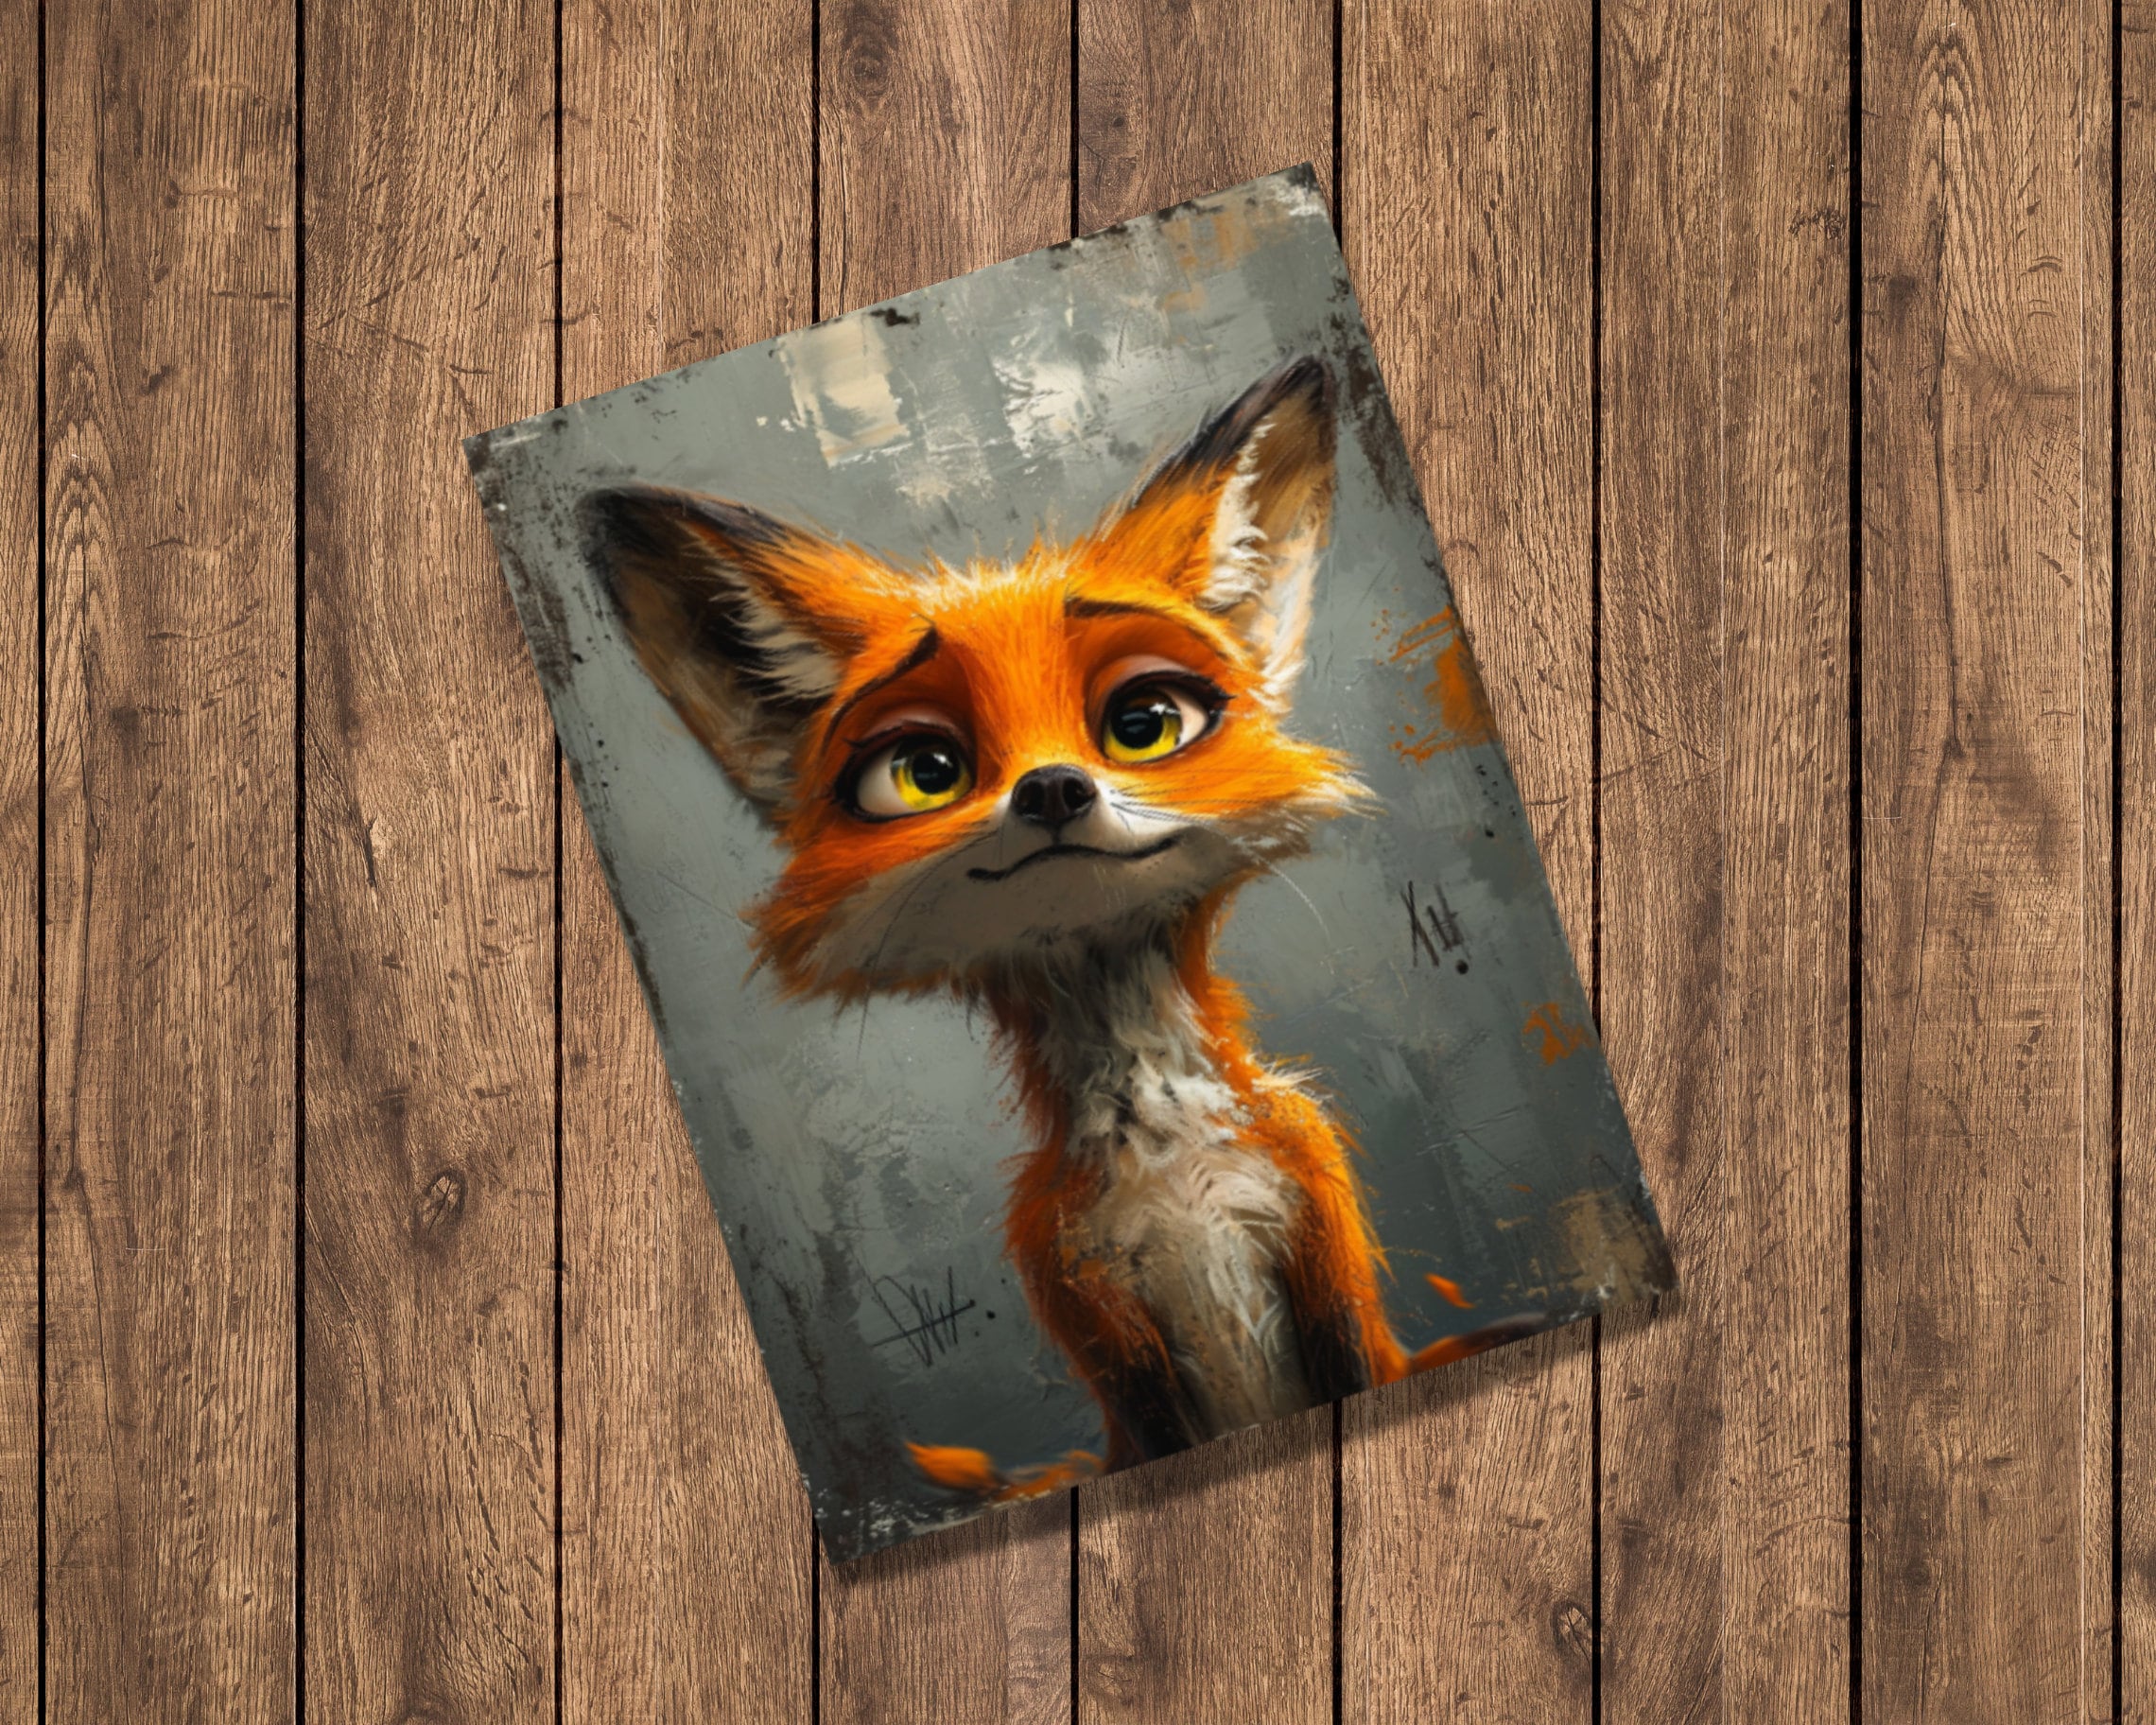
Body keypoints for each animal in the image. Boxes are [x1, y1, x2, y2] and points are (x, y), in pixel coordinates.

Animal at [582, 355, 1537, 1502]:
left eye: (1144, 726)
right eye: (924, 772)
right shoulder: (1100, 1320)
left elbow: (1355, 1354)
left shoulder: (1320, 1240)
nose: (1050, 791)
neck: (1169, 1167)